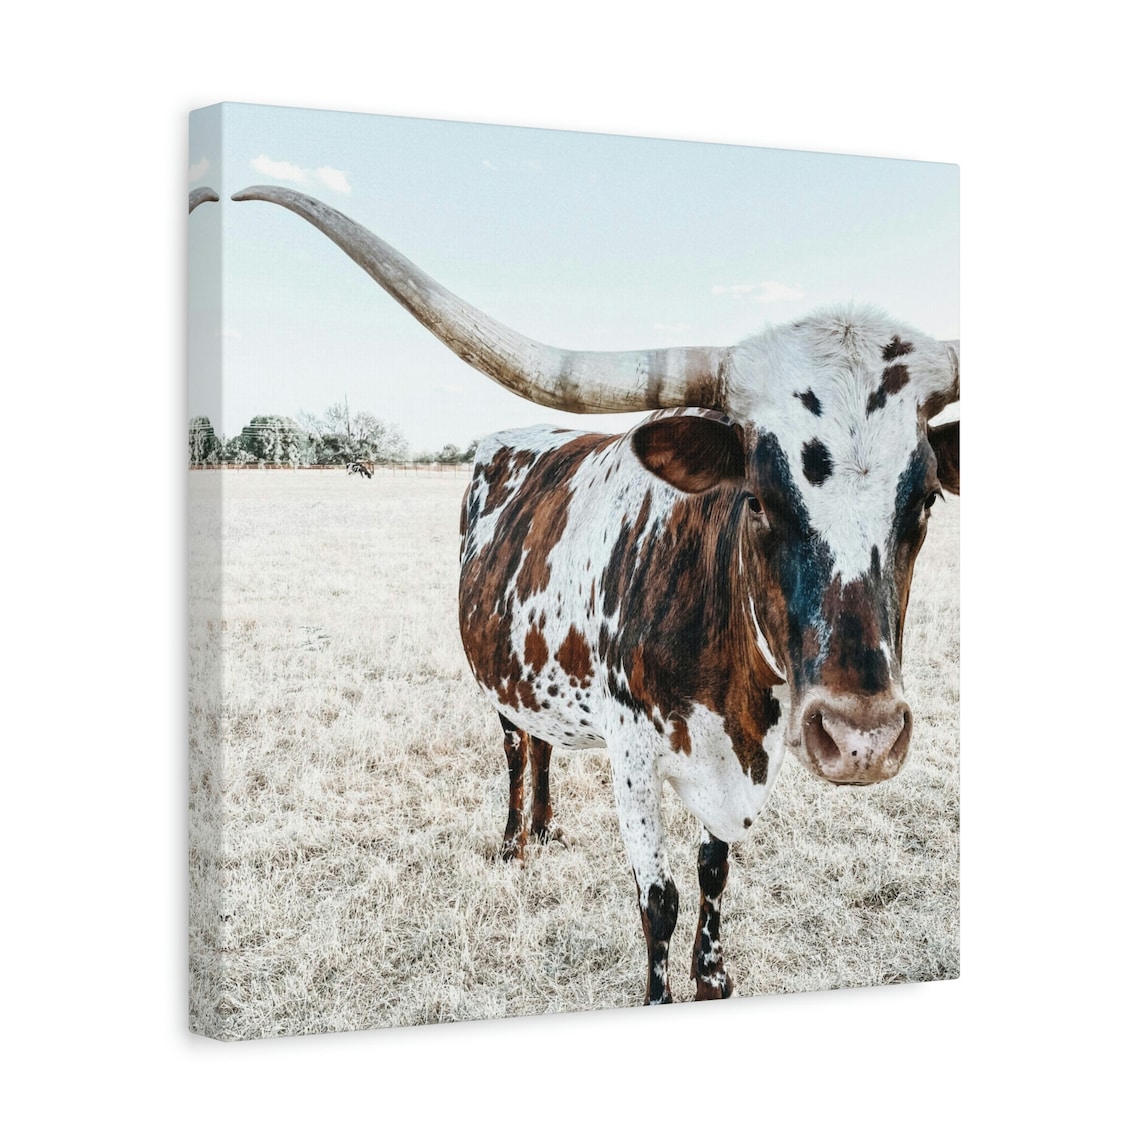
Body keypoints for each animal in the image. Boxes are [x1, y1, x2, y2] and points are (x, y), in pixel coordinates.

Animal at [233, 185, 960, 1005]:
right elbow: (659, 899)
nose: (861, 738)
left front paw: (713, 977)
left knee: (545, 746)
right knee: (517, 749)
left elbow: (714, 870)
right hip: (499, 677)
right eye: (757, 498)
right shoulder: (633, 753)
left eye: (927, 498)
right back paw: (516, 840)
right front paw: (659, 993)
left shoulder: (745, 754)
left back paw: (547, 826)